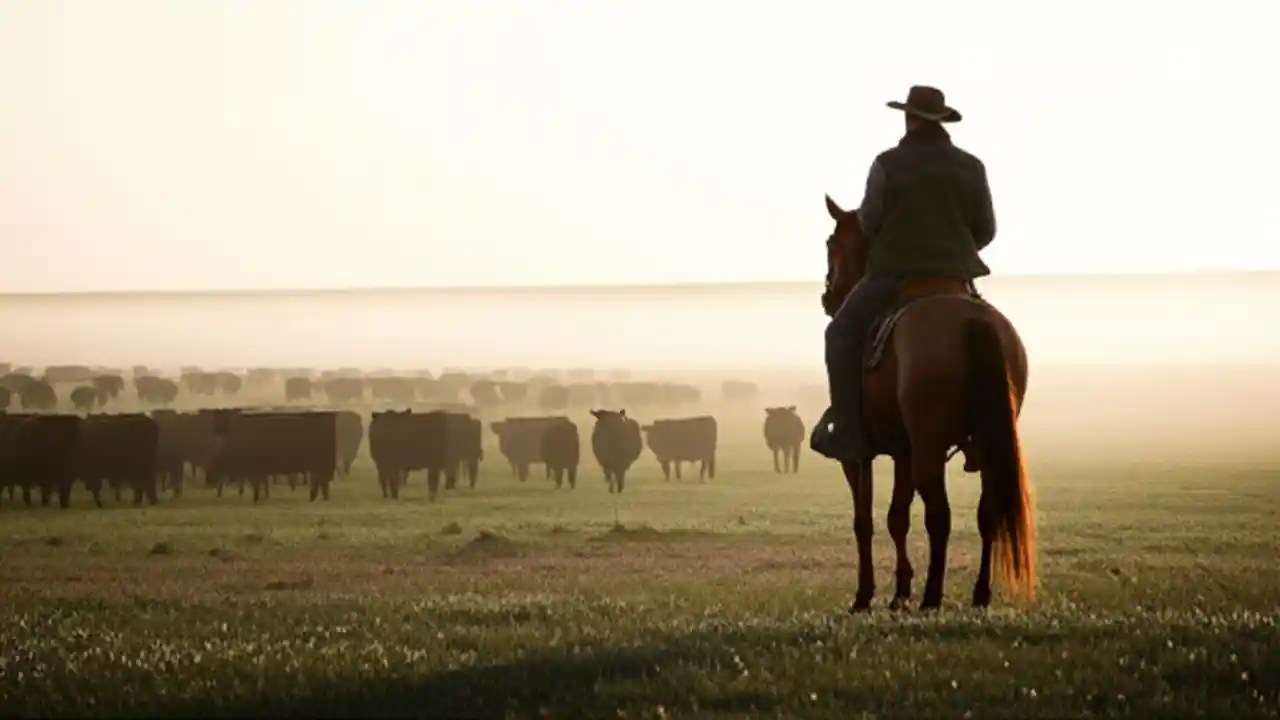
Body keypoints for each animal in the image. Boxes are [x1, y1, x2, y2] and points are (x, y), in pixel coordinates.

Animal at [207, 411, 337, 503]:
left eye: (215, 460)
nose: (208, 481)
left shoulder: (256, 470)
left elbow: (257, 484)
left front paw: (256, 498)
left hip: (320, 466)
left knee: (321, 482)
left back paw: (319, 497)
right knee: (319, 482)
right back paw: (316, 497)